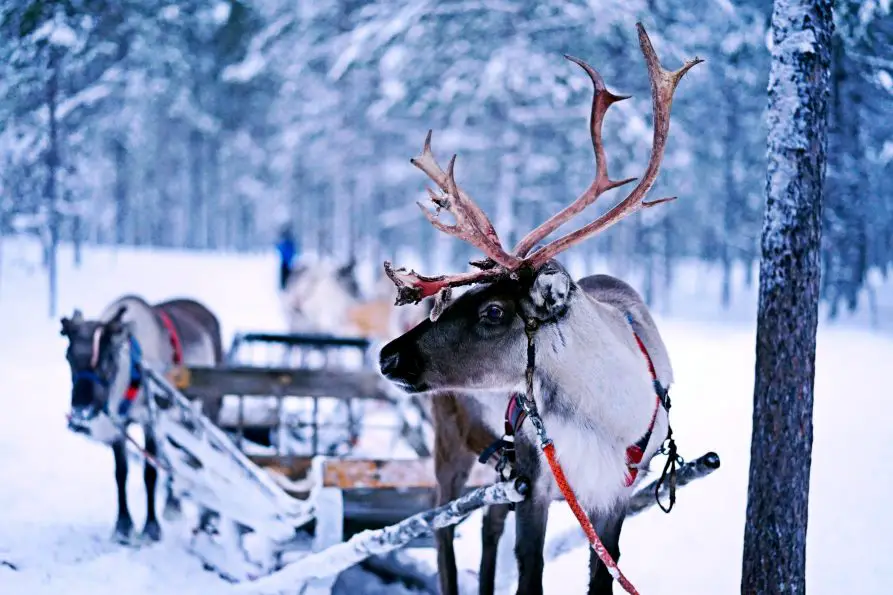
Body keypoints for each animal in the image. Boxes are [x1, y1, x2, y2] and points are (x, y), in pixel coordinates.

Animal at [377, 23, 701, 595]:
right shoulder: (536, 479)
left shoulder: (612, 492)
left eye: (492, 312)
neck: (603, 419)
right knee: (442, 524)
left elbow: (604, 570)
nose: (388, 356)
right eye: (463, 298)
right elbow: (530, 569)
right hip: (450, 445)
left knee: (485, 525)